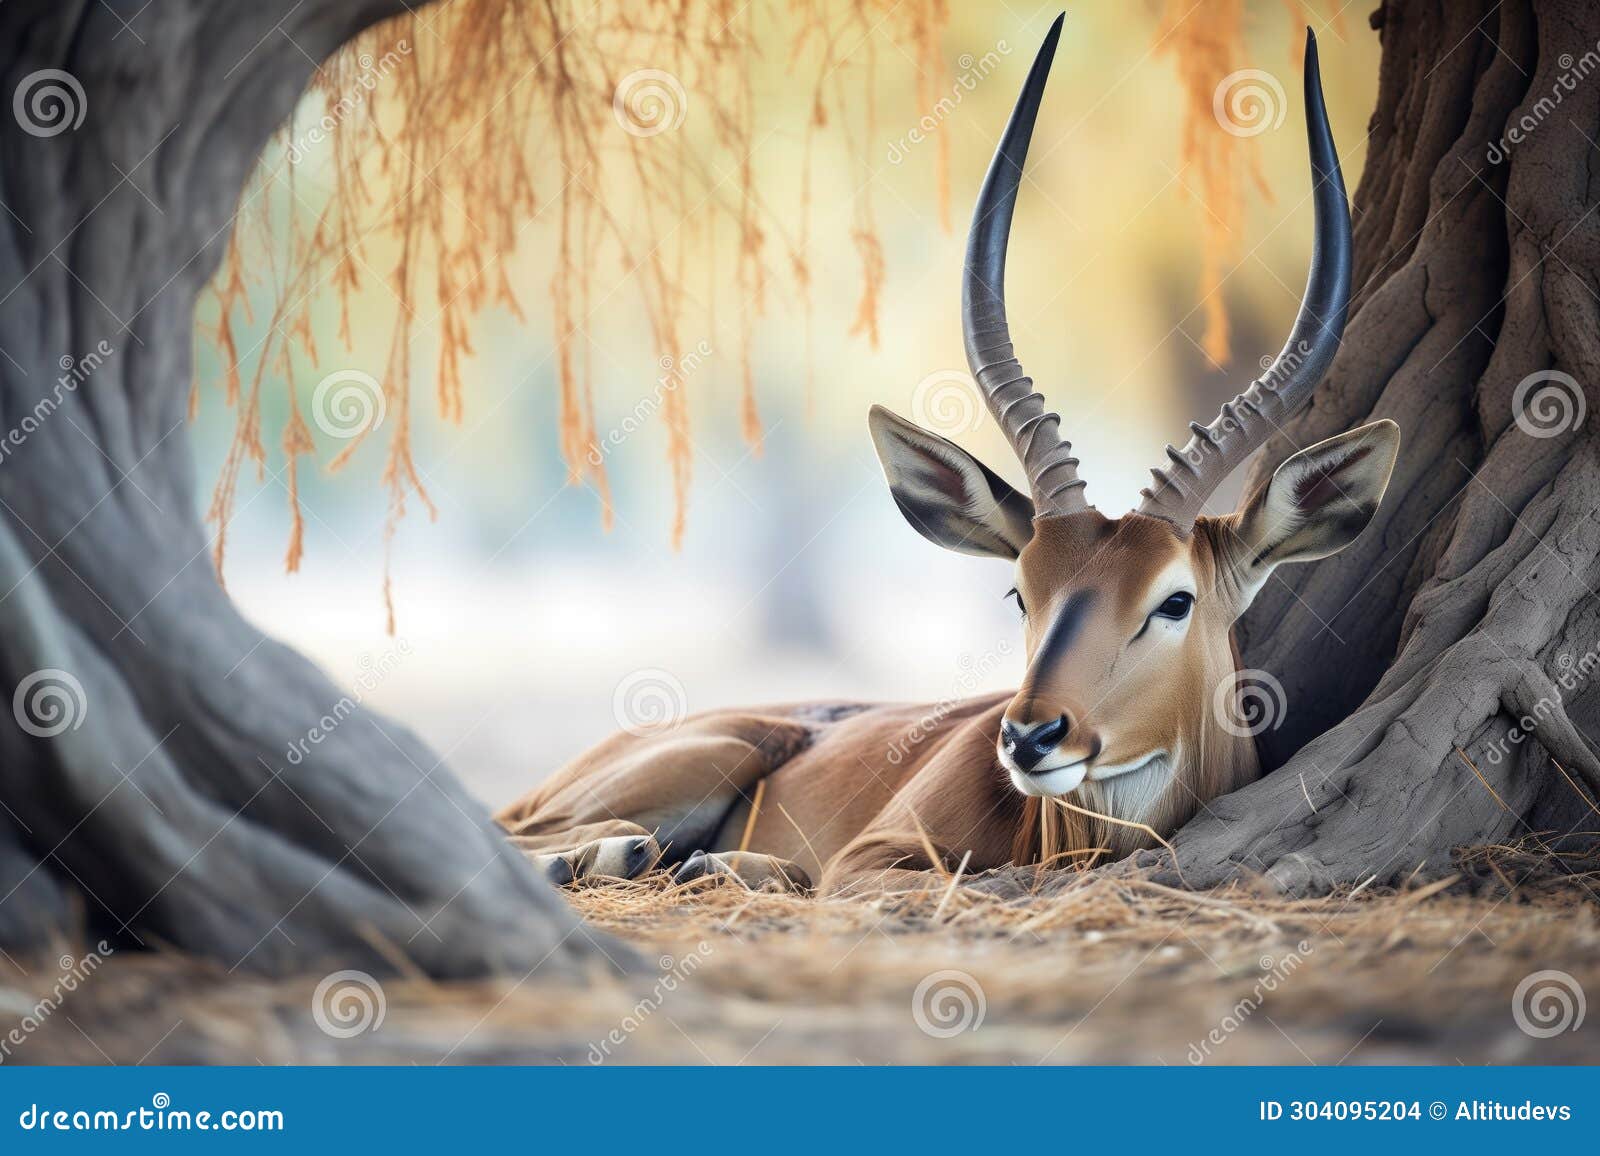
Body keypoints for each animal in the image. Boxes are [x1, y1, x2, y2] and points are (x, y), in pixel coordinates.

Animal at [499, 20, 1398, 894]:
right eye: (1020, 591)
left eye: (1176, 600)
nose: (1031, 736)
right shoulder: (870, 860)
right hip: (709, 755)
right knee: (526, 834)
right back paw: (633, 855)